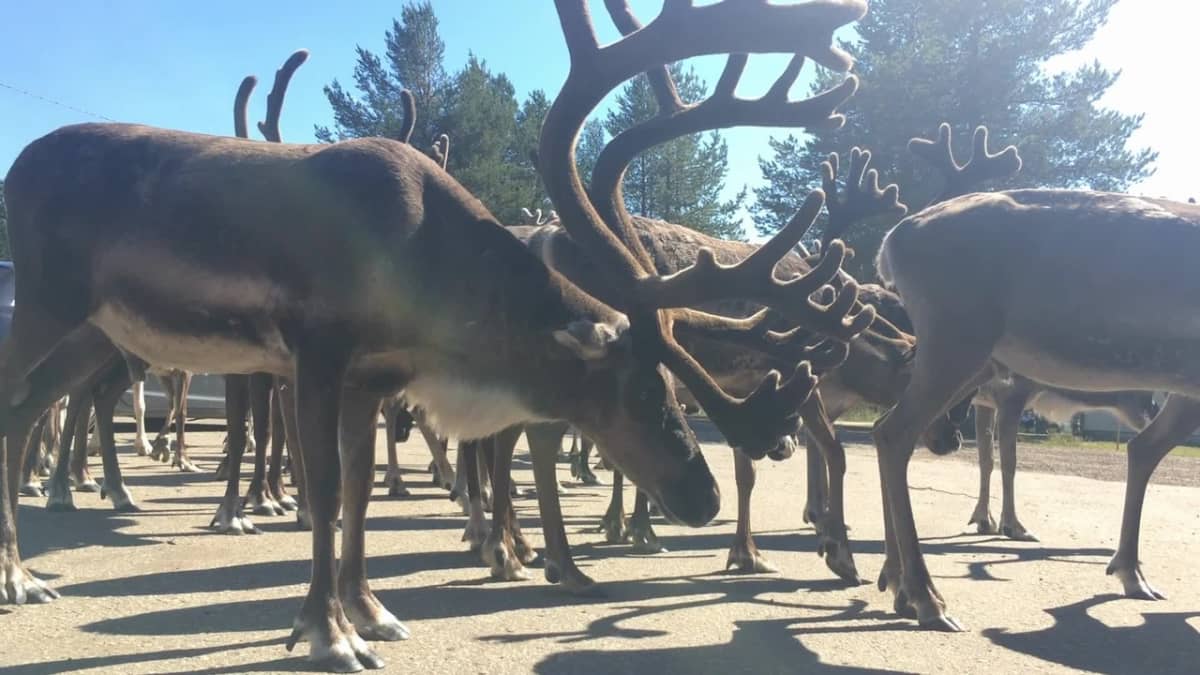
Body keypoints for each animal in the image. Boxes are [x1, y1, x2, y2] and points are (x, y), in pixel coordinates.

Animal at [0, 2, 875, 669]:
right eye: (638, 391)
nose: (705, 495)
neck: (429, 280)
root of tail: (15, 168)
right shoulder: (319, 351)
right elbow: (325, 489)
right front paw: (327, 631)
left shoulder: (373, 377)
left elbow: (358, 489)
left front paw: (369, 608)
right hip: (43, 300)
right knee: (16, 404)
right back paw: (17, 571)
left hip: (90, 334)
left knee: (29, 409)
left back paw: (31, 557)